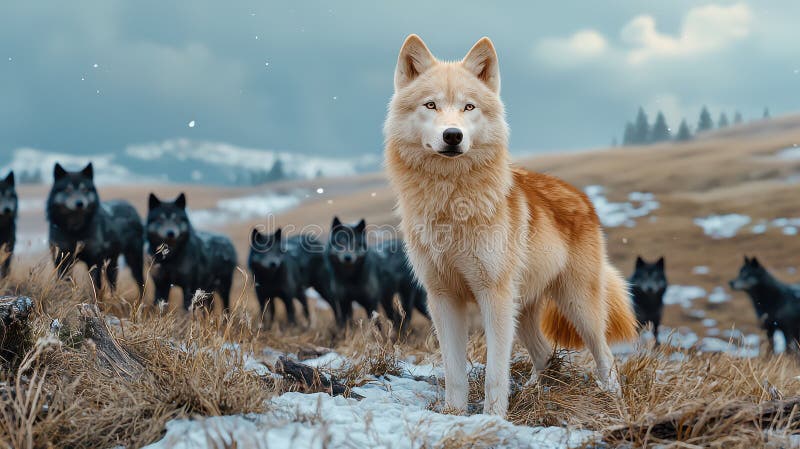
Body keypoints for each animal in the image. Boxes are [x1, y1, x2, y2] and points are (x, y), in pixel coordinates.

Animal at [47, 163, 144, 292]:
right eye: (68, 189)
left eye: (84, 189)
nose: (79, 203)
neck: (75, 230)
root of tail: (131, 207)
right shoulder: (62, 259)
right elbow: (64, 282)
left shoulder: (94, 260)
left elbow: (95, 286)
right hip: (112, 264)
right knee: (113, 284)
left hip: (133, 260)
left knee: (139, 283)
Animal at [384, 35, 637, 416]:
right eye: (431, 105)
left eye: (468, 107)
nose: (453, 135)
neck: (452, 203)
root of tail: (581, 196)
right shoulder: (442, 298)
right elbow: (454, 372)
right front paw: (455, 415)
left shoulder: (494, 296)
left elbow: (494, 372)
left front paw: (494, 417)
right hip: (524, 310)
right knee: (545, 354)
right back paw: (534, 393)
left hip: (578, 306)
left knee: (605, 356)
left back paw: (612, 401)